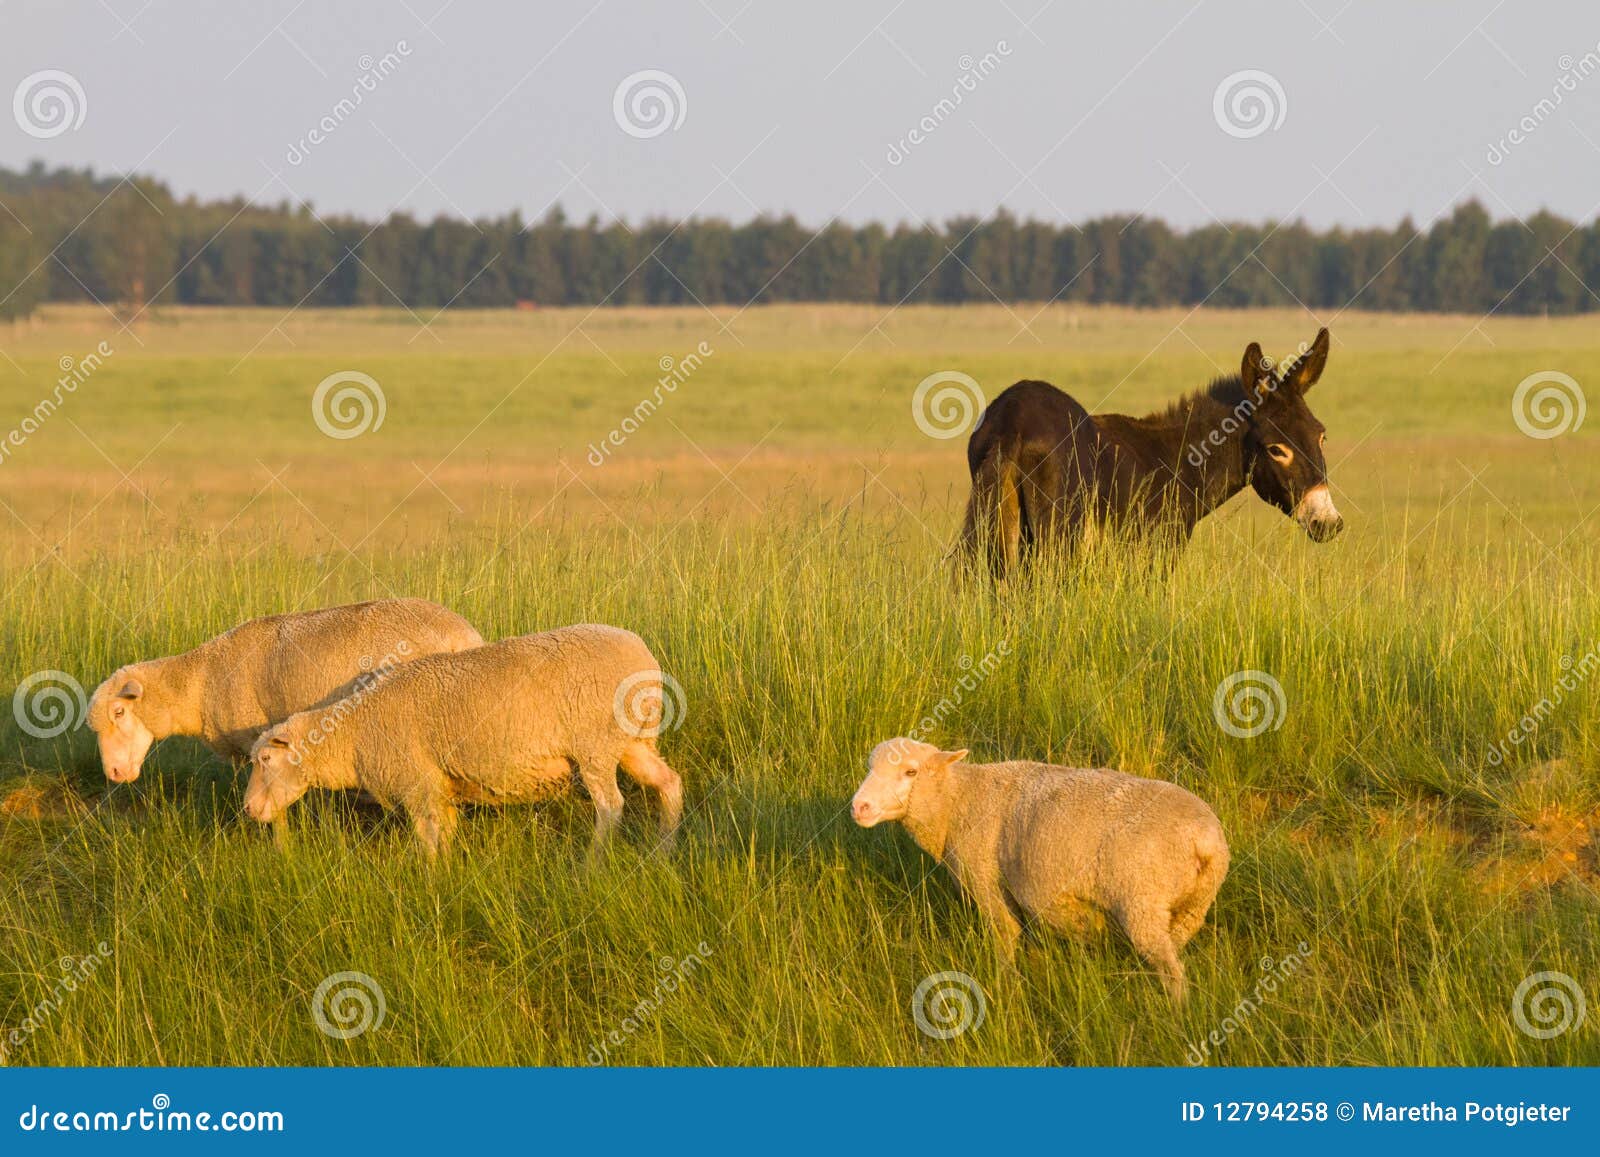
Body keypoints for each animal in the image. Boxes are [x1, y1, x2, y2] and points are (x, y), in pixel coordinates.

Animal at [242, 623, 684, 859]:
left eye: (265, 760)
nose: (247, 809)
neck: (353, 734)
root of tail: (642, 656)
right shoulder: (440, 790)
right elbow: (446, 835)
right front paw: (448, 874)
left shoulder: (417, 785)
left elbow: (427, 840)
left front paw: (429, 881)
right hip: (631, 743)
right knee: (669, 783)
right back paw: (663, 851)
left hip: (595, 746)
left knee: (612, 806)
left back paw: (592, 865)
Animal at [850, 737, 1228, 1002]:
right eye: (869, 768)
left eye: (910, 772)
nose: (859, 806)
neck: (957, 800)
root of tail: (1204, 839)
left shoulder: (984, 879)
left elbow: (1005, 936)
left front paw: (1004, 988)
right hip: (1192, 906)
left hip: (1142, 899)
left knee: (1171, 971)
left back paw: (1175, 1016)